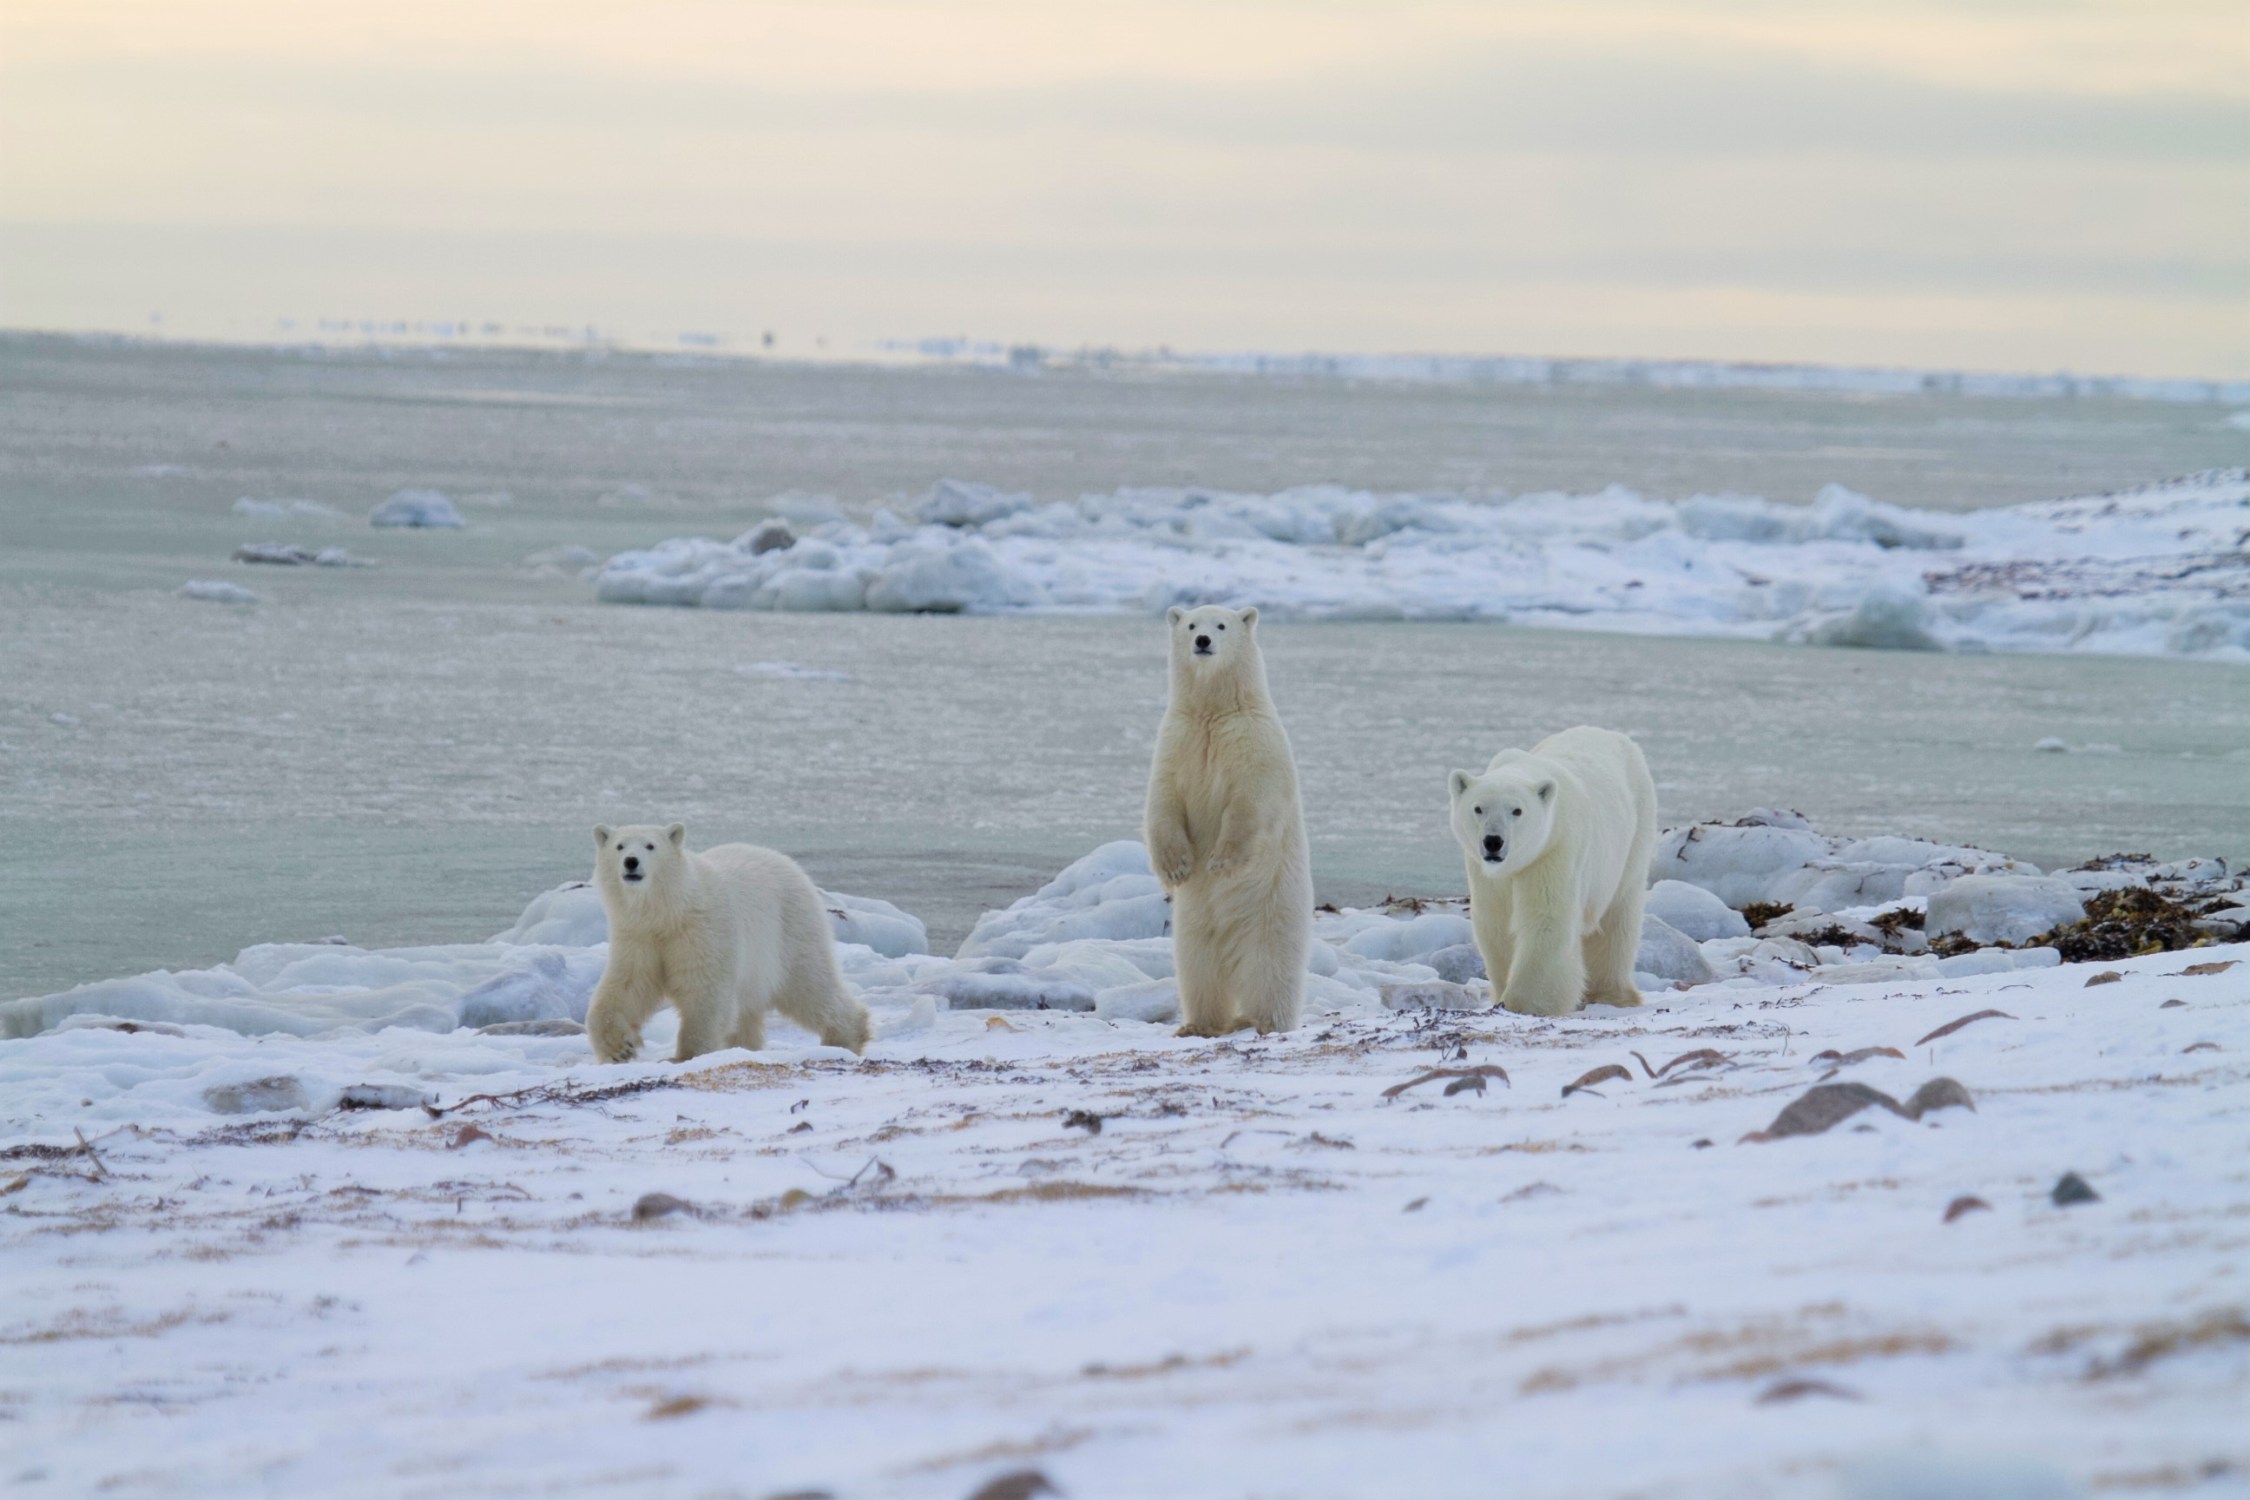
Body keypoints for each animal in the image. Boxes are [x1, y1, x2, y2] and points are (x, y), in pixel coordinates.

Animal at [584, 823, 872, 1063]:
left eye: (650, 846)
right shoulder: (638, 936)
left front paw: (685, 1056)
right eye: (619, 846)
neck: (670, 912)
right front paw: (619, 1048)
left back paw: (847, 1036)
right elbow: (627, 985)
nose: (631, 862)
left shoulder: (703, 932)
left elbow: (705, 991)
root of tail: (788, 863)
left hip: (790, 930)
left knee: (810, 985)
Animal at [1143, 604, 1313, 1036]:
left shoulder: (1252, 742)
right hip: (1191, 929)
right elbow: (1163, 802)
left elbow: (1249, 803)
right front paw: (1177, 867)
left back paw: (1258, 1020)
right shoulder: (1178, 740)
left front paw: (1220, 862)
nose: (1202, 641)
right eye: (1190, 624)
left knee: (1269, 971)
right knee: (1199, 973)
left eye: (1221, 625)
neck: (1213, 713)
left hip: (1272, 914)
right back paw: (1198, 1024)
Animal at [1447, 726, 1658, 1017]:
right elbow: (1496, 921)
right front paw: (1502, 993)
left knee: (1618, 916)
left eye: (1517, 810)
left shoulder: (1555, 848)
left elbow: (1547, 919)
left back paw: (1612, 994)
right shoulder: (1485, 871)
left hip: (1633, 836)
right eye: (1478, 808)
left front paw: (1522, 1004)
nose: (1493, 841)